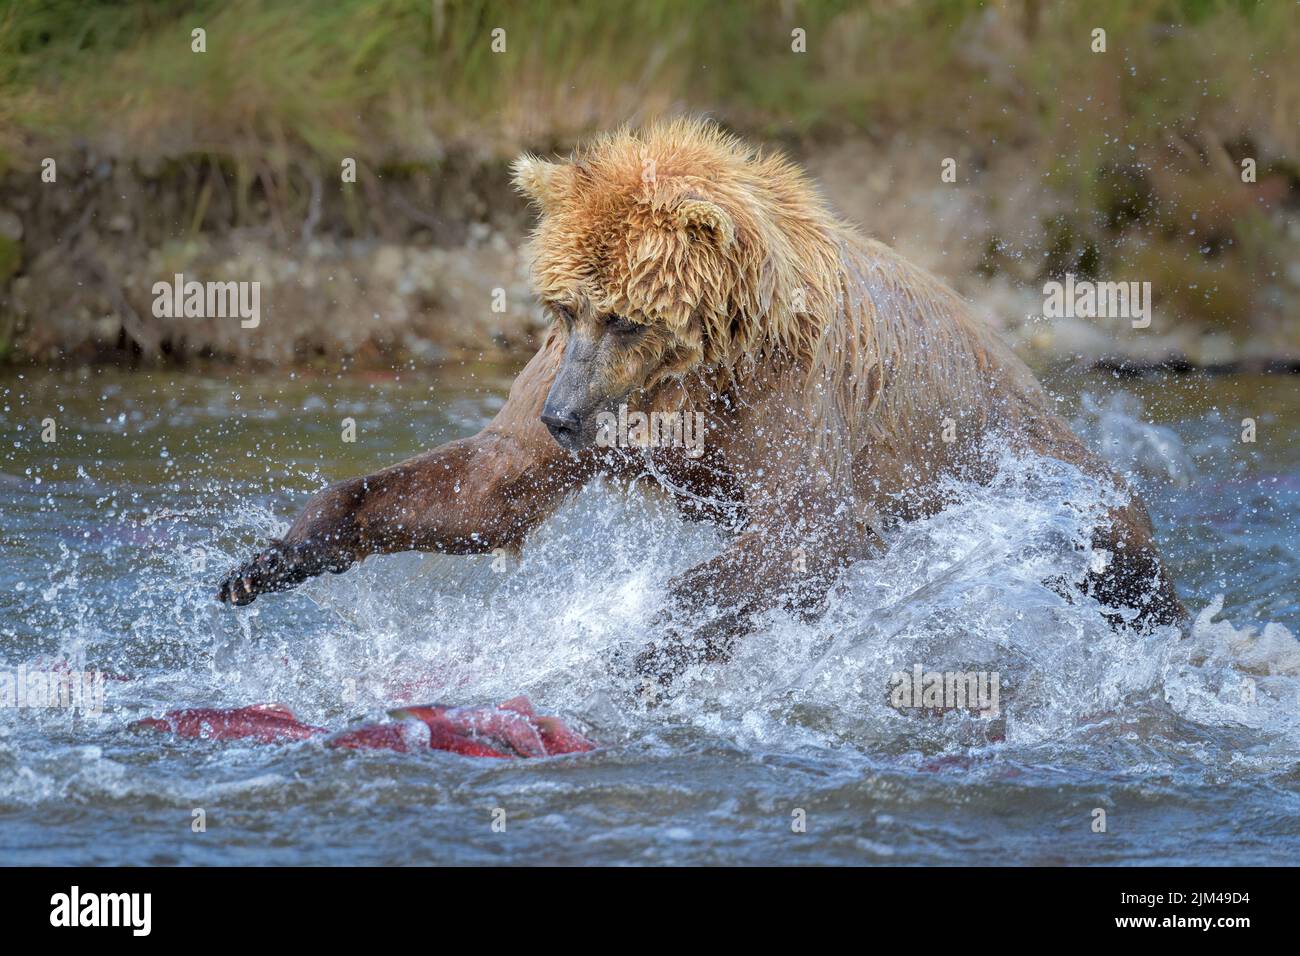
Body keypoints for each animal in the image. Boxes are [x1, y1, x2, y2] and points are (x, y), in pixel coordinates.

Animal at [217, 117, 1185, 691]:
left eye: (626, 317)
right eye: (564, 308)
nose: (561, 417)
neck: (694, 375)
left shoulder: (792, 395)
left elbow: (808, 527)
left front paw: (637, 646)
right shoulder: (584, 394)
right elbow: (486, 488)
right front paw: (269, 558)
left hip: (1059, 492)